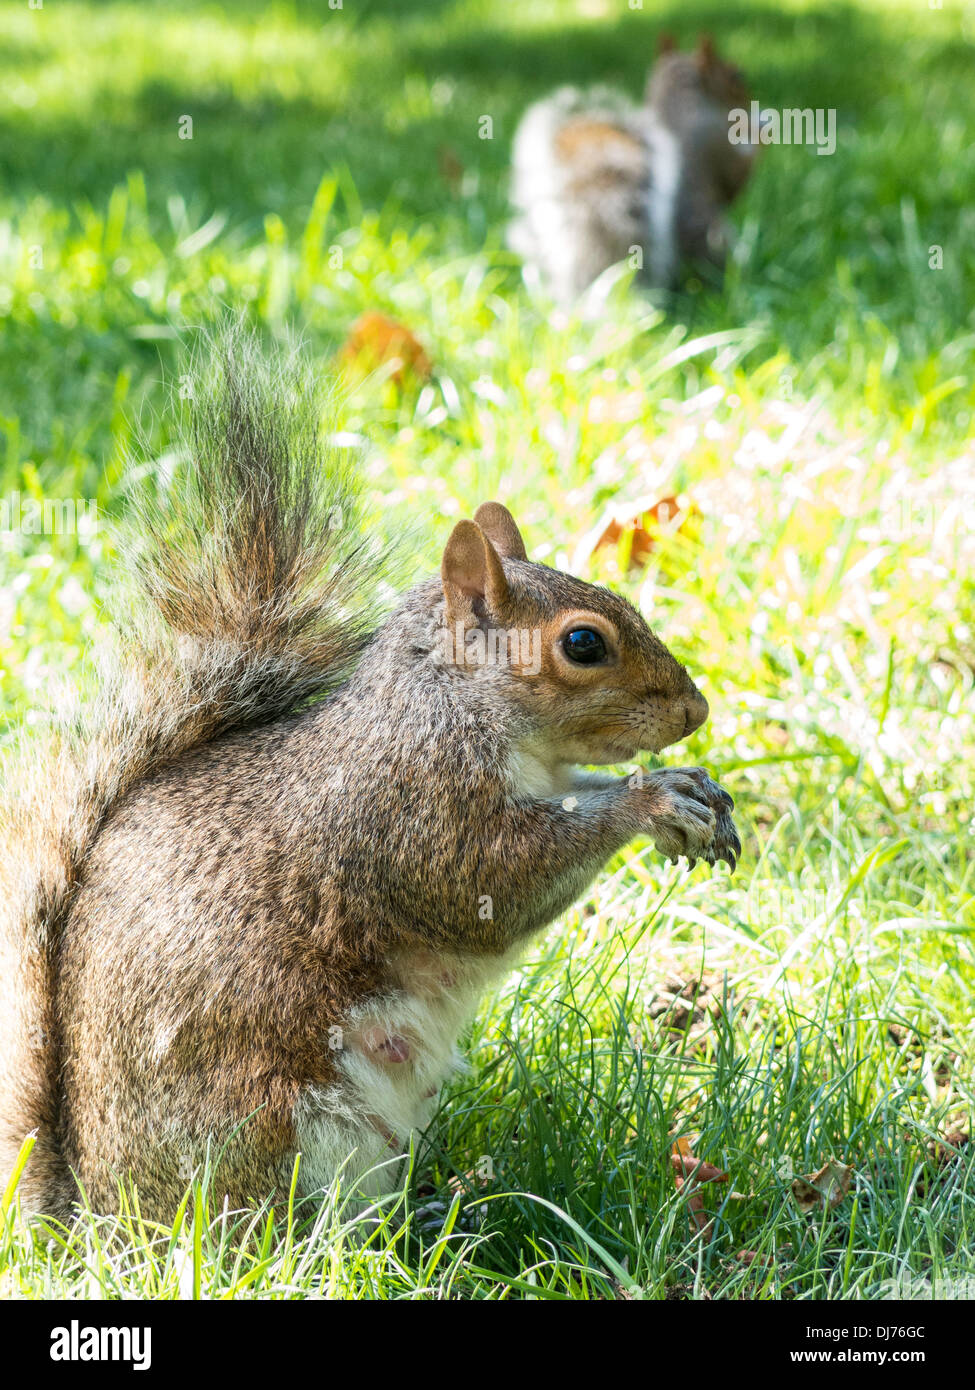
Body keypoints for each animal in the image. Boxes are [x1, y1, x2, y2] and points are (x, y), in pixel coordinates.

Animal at [0, 332, 740, 1222]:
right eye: (583, 643)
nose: (694, 712)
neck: (450, 708)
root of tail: (101, 1214)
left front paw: (692, 790)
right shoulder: (412, 813)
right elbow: (495, 882)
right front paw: (648, 800)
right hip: (278, 1126)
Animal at [509, 34, 759, 303]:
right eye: (736, 76)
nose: (748, 99)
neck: (675, 103)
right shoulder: (716, 142)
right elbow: (735, 174)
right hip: (712, 235)